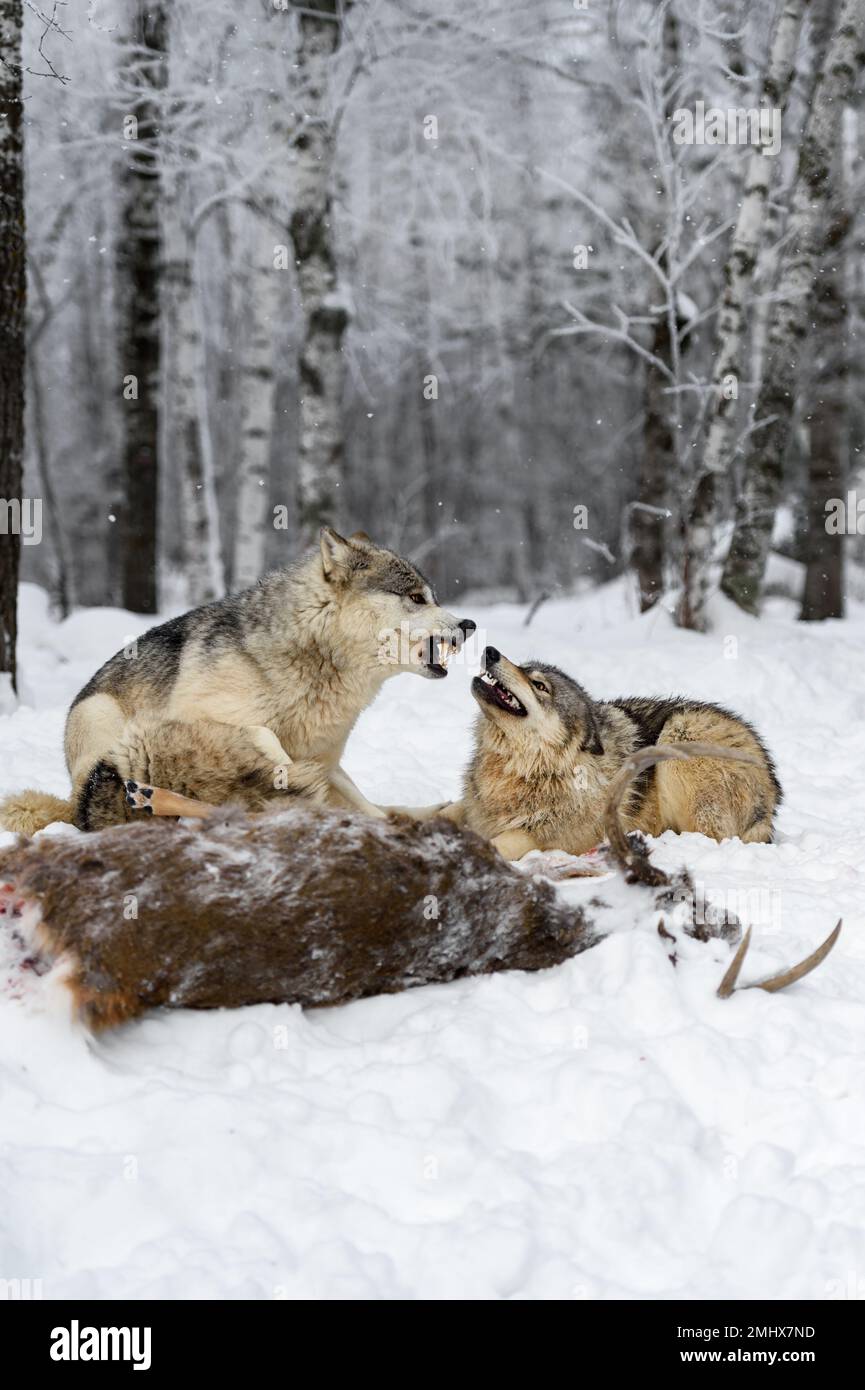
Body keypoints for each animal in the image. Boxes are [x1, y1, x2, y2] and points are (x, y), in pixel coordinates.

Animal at [0, 529, 475, 835]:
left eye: (432, 596)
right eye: (416, 598)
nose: (469, 625)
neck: (315, 661)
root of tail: (68, 799)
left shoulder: (325, 757)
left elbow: (356, 800)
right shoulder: (207, 719)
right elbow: (265, 737)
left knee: (375, 804)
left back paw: (434, 810)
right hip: (100, 714)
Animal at [445, 646, 782, 860]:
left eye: (540, 685)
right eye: (524, 668)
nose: (490, 651)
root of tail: (771, 784)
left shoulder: (565, 836)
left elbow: (506, 841)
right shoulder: (476, 807)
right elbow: (447, 809)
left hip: (680, 731)